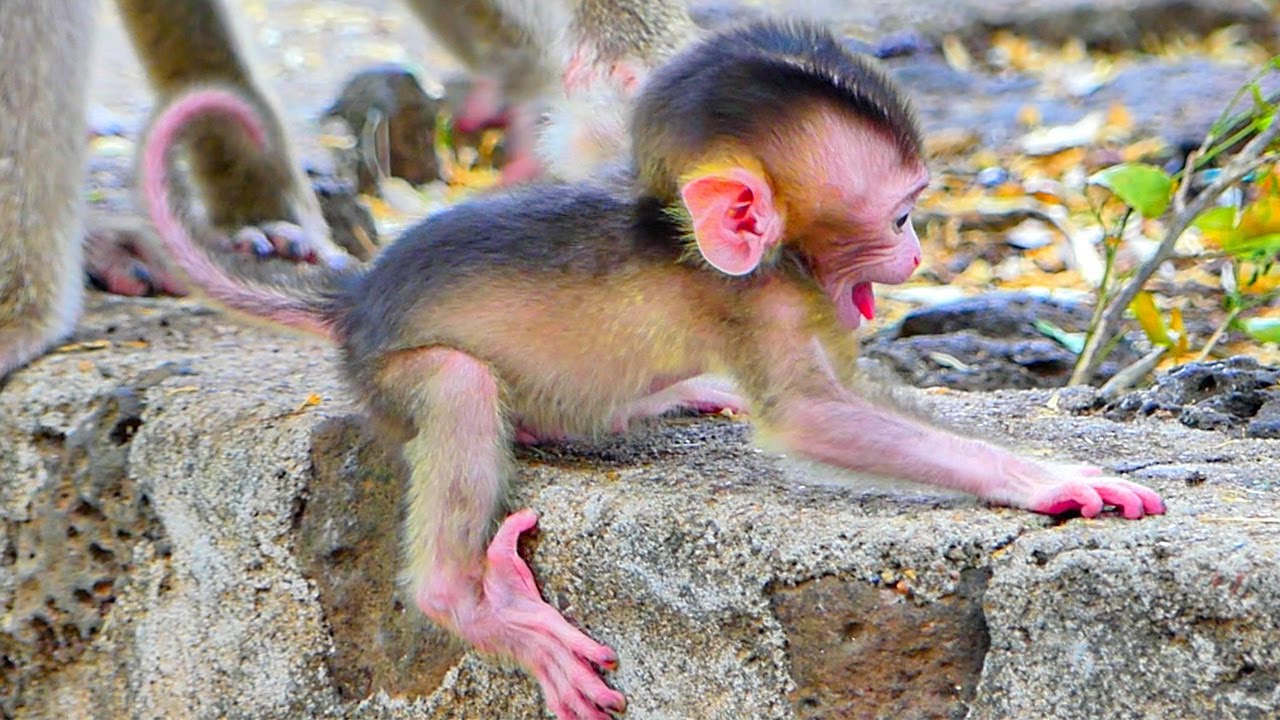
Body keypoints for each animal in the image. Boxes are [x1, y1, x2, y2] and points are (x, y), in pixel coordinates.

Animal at [139, 19, 1165, 719]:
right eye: (904, 215)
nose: (916, 256)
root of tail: (351, 303)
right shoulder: (763, 302)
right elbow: (810, 417)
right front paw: (1050, 480)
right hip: (392, 370)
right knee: (459, 390)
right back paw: (475, 605)